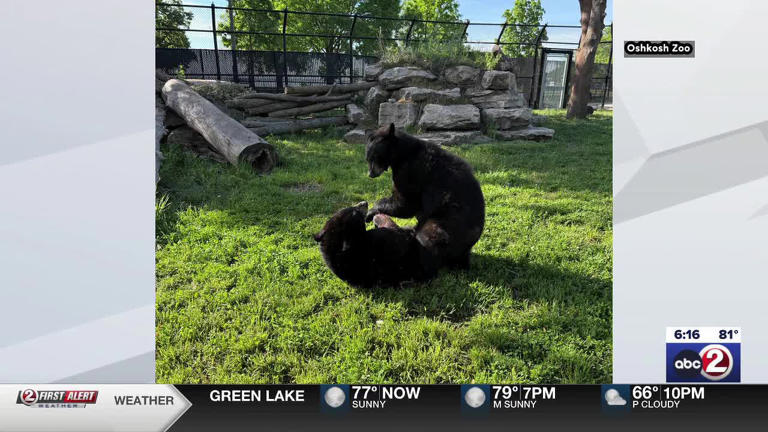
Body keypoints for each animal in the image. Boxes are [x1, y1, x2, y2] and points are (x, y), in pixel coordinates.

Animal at [365, 123, 485, 269]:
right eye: (368, 159)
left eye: (374, 157)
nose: (370, 174)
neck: (402, 153)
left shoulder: (409, 172)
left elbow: (405, 203)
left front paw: (371, 212)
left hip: (445, 224)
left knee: (426, 240)